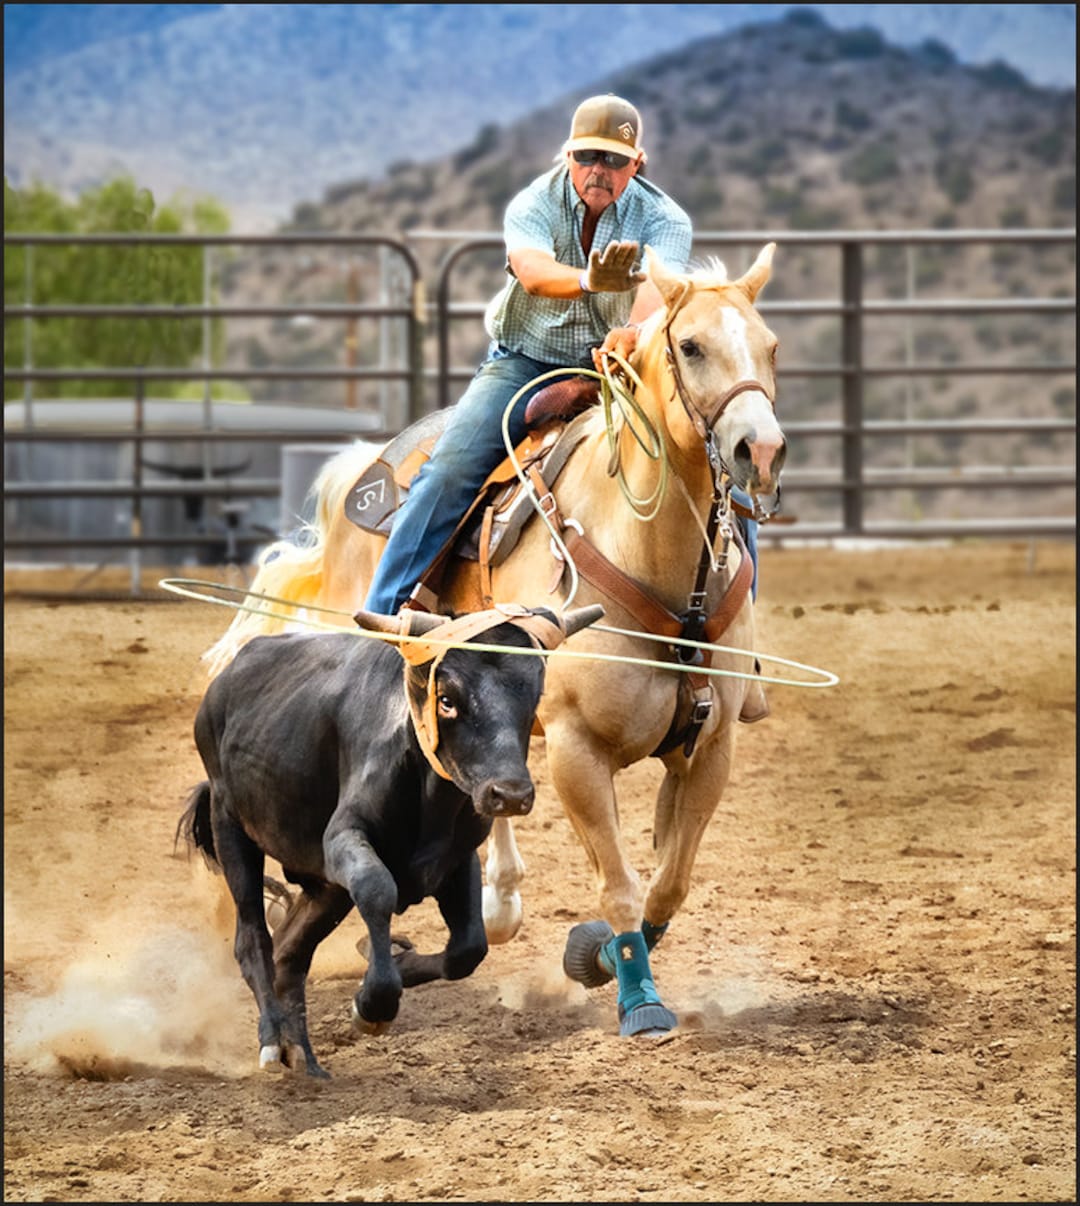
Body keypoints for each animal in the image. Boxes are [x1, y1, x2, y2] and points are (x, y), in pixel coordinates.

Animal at [203, 243, 786, 1036]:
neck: (654, 562)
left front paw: (597, 957)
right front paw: (639, 1001)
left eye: (770, 346)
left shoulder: (710, 745)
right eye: (691, 346)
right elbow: (621, 885)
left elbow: (668, 883)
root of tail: (367, 464)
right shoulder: (576, 748)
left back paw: (501, 900)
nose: (762, 449)